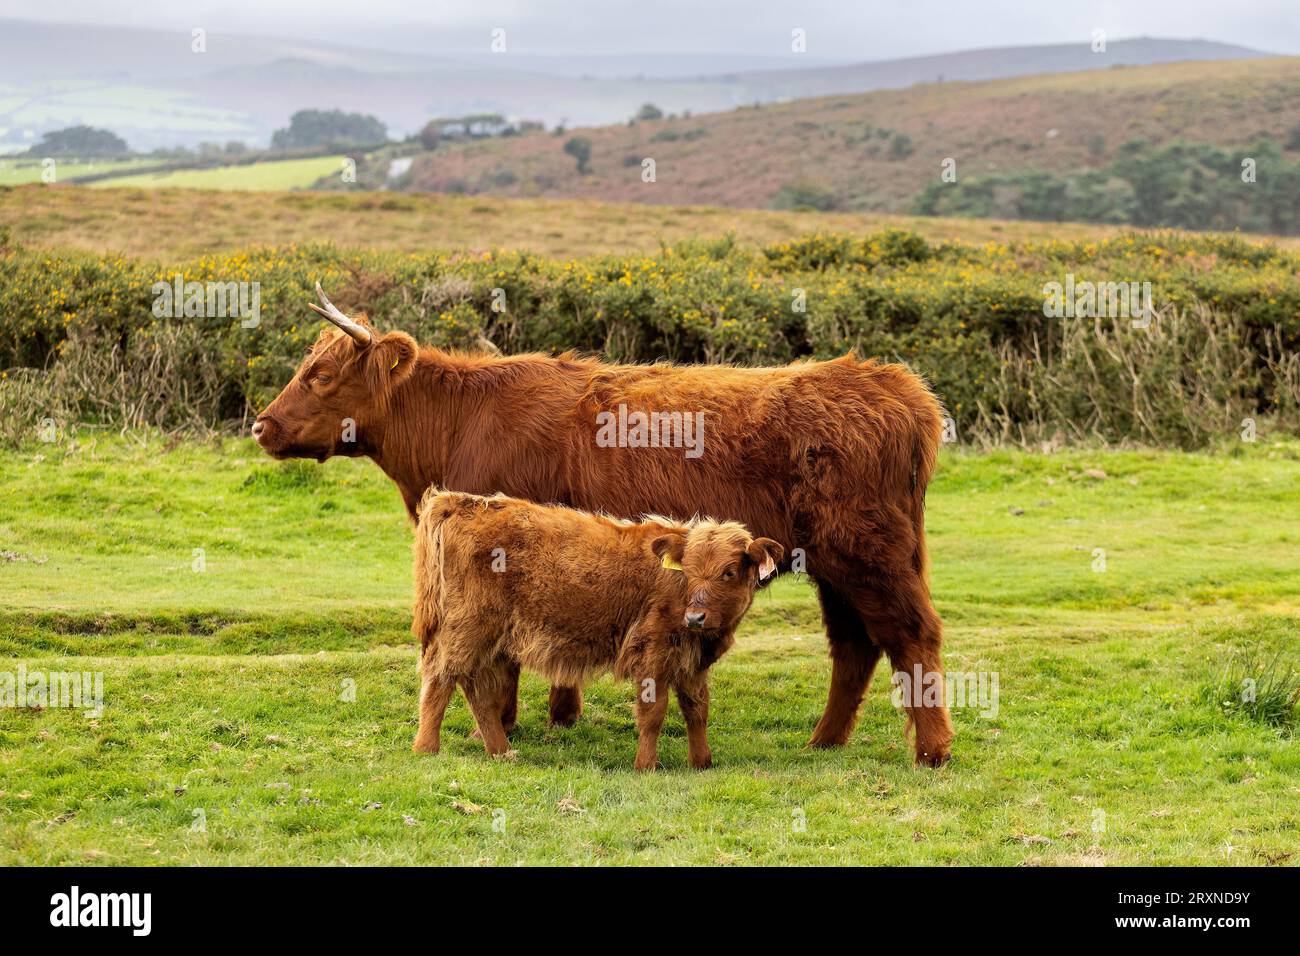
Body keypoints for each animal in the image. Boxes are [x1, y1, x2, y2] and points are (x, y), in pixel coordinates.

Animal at [411, 489, 782, 769]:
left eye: (729, 572)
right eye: (688, 571)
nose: (695, 617)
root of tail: (462, 501)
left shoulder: (692, 663)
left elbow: (697, 710)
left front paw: (701, 761)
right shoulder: (652, 654)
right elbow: (654, 712)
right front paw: (646, 765)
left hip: (489, 636)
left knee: (478, 690)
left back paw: (501, 752)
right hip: (466, 627)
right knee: (441, 676)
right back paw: (427, 747)